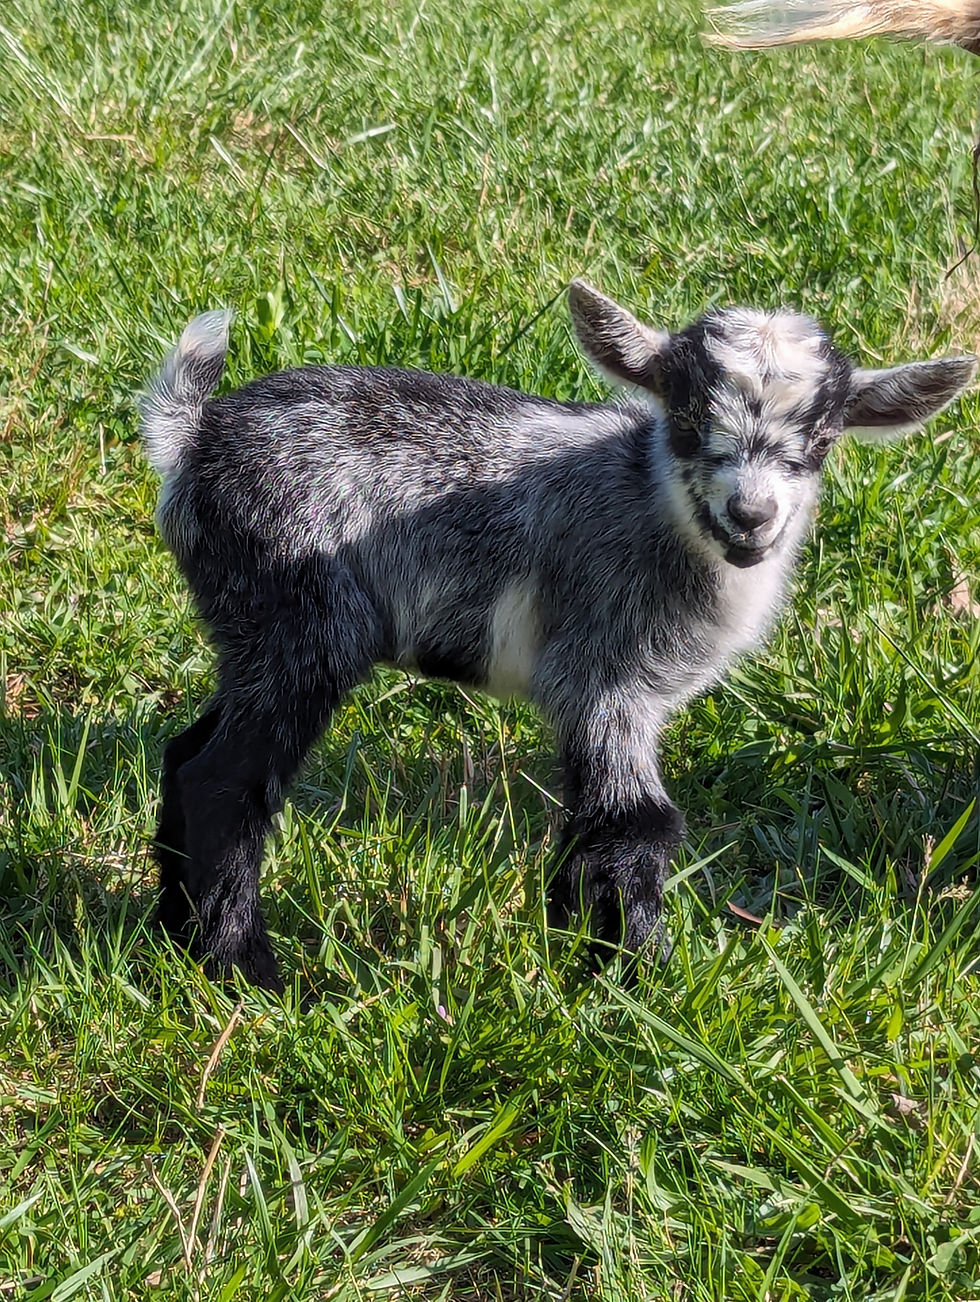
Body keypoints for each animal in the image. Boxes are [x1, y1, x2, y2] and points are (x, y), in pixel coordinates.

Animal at [141, 282, 976, 989]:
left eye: (825, 438)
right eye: (685, 420)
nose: (751, 517)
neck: (646, 503)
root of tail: (192, 444)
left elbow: (587, 833)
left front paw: (580, 958)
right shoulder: (605, 675)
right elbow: (634, 828)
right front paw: (638, 991)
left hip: (250, 629)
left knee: (186, 754)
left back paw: (174, 935)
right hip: (304, 620)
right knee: (225, 779)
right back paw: (248, 972)